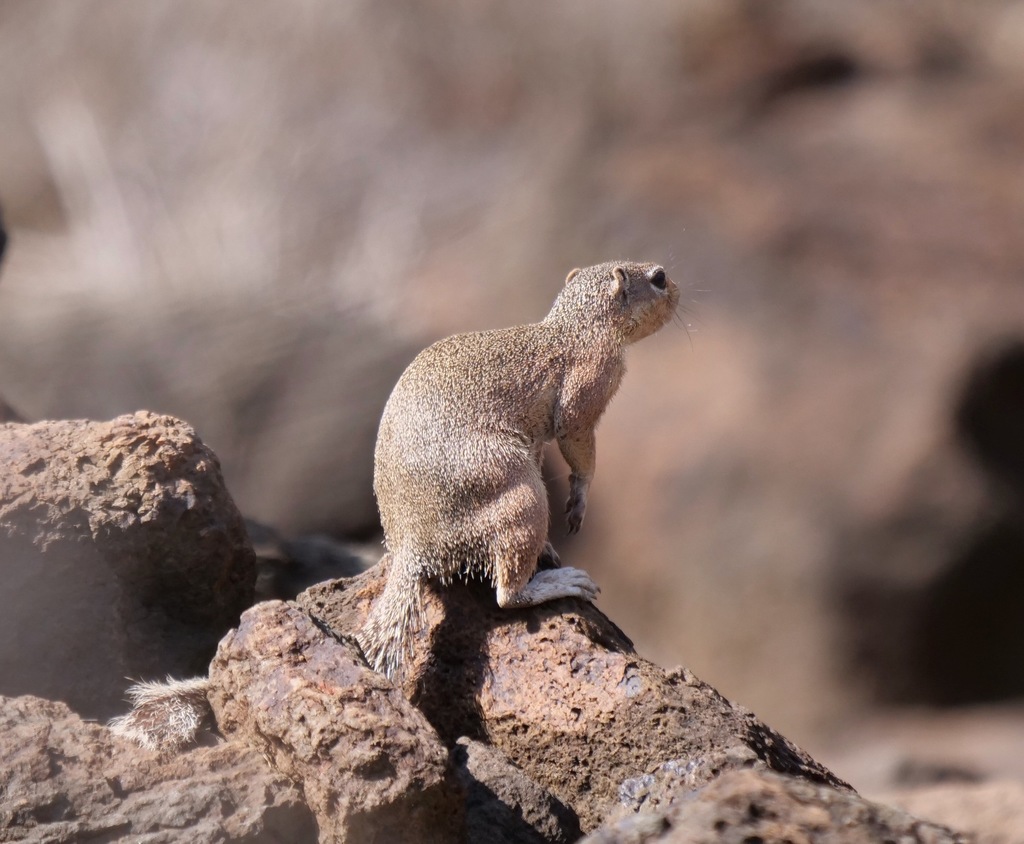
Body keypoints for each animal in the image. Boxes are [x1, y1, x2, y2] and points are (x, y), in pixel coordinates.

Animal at [358, 261, 678, 677]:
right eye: (659, 278)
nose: (677, 290)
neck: (577, 325)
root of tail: (413, 546)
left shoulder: (539, 440)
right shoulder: (588, 384)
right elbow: (576, 439)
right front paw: (581, 496)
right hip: (518, 492)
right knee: (507, 595)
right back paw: (561, 581)